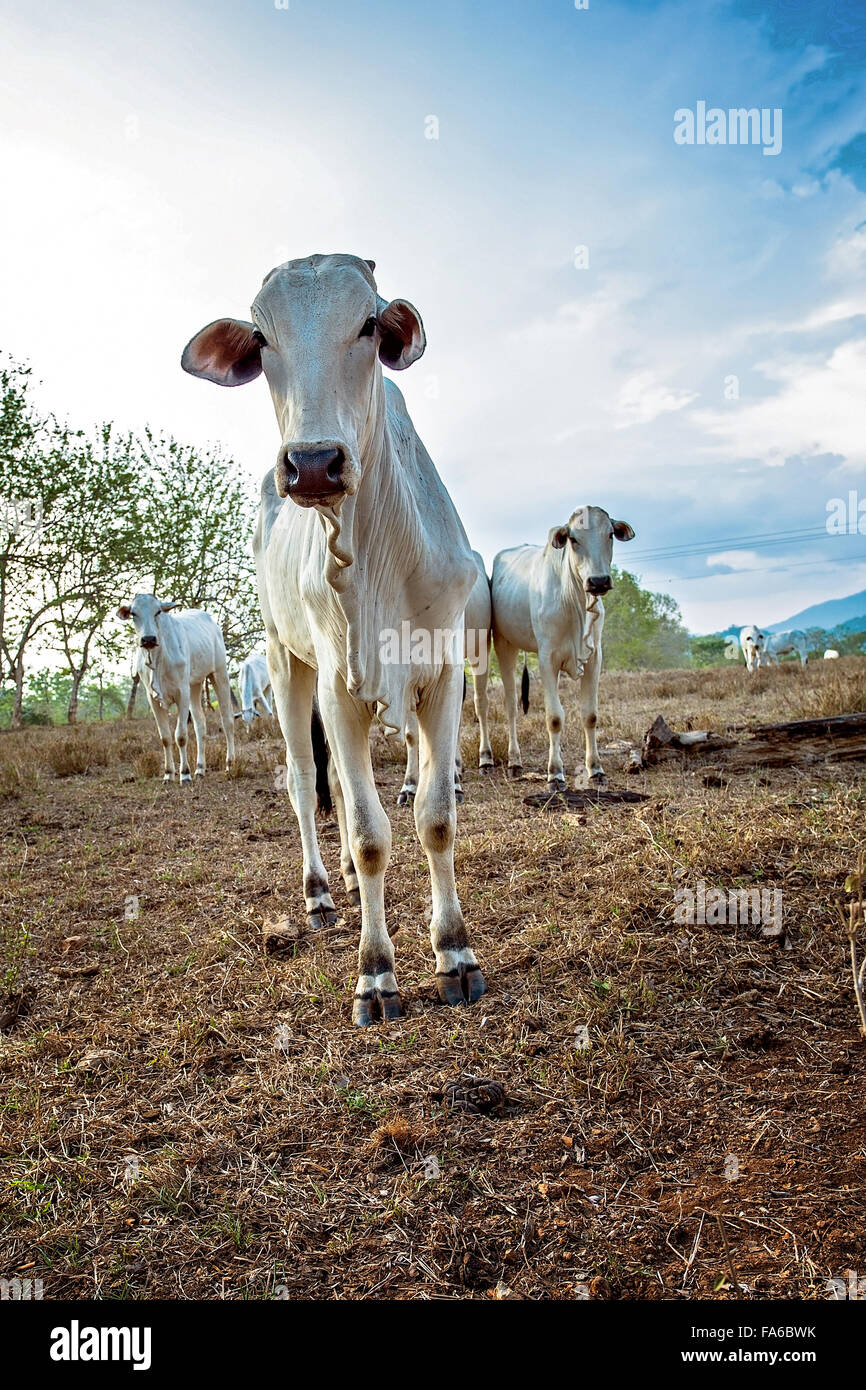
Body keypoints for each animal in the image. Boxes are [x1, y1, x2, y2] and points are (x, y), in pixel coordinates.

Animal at [117, 594, 236, 782]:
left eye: (158, 611)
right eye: (134, 613)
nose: (148, 639)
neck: (157, 659)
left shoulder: (182, 694)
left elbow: (180, 735)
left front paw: (185, 774)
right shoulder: (153, 698)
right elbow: (165, 737)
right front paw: (168, 773)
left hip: (219, 673)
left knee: (227, 720)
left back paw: (229, 763)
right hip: (195, 685)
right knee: (200, 724)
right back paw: (200, 768)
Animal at [397, 550, 492, 806]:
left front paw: (455, 785)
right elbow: (411, 735)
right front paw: (409, 785)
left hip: (480, 652)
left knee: (479, 704)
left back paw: (482, 760)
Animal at [491, 505, 635, 789]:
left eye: (610, 534)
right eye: (574, 539)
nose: (598, 581)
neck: (575, 600)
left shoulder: (594, 657)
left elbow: (590, 714)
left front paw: (596, 769)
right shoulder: (547, 659)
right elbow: (555, 717)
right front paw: (555, 773)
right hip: (504, 645)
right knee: (511, 705)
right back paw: (514, 762)